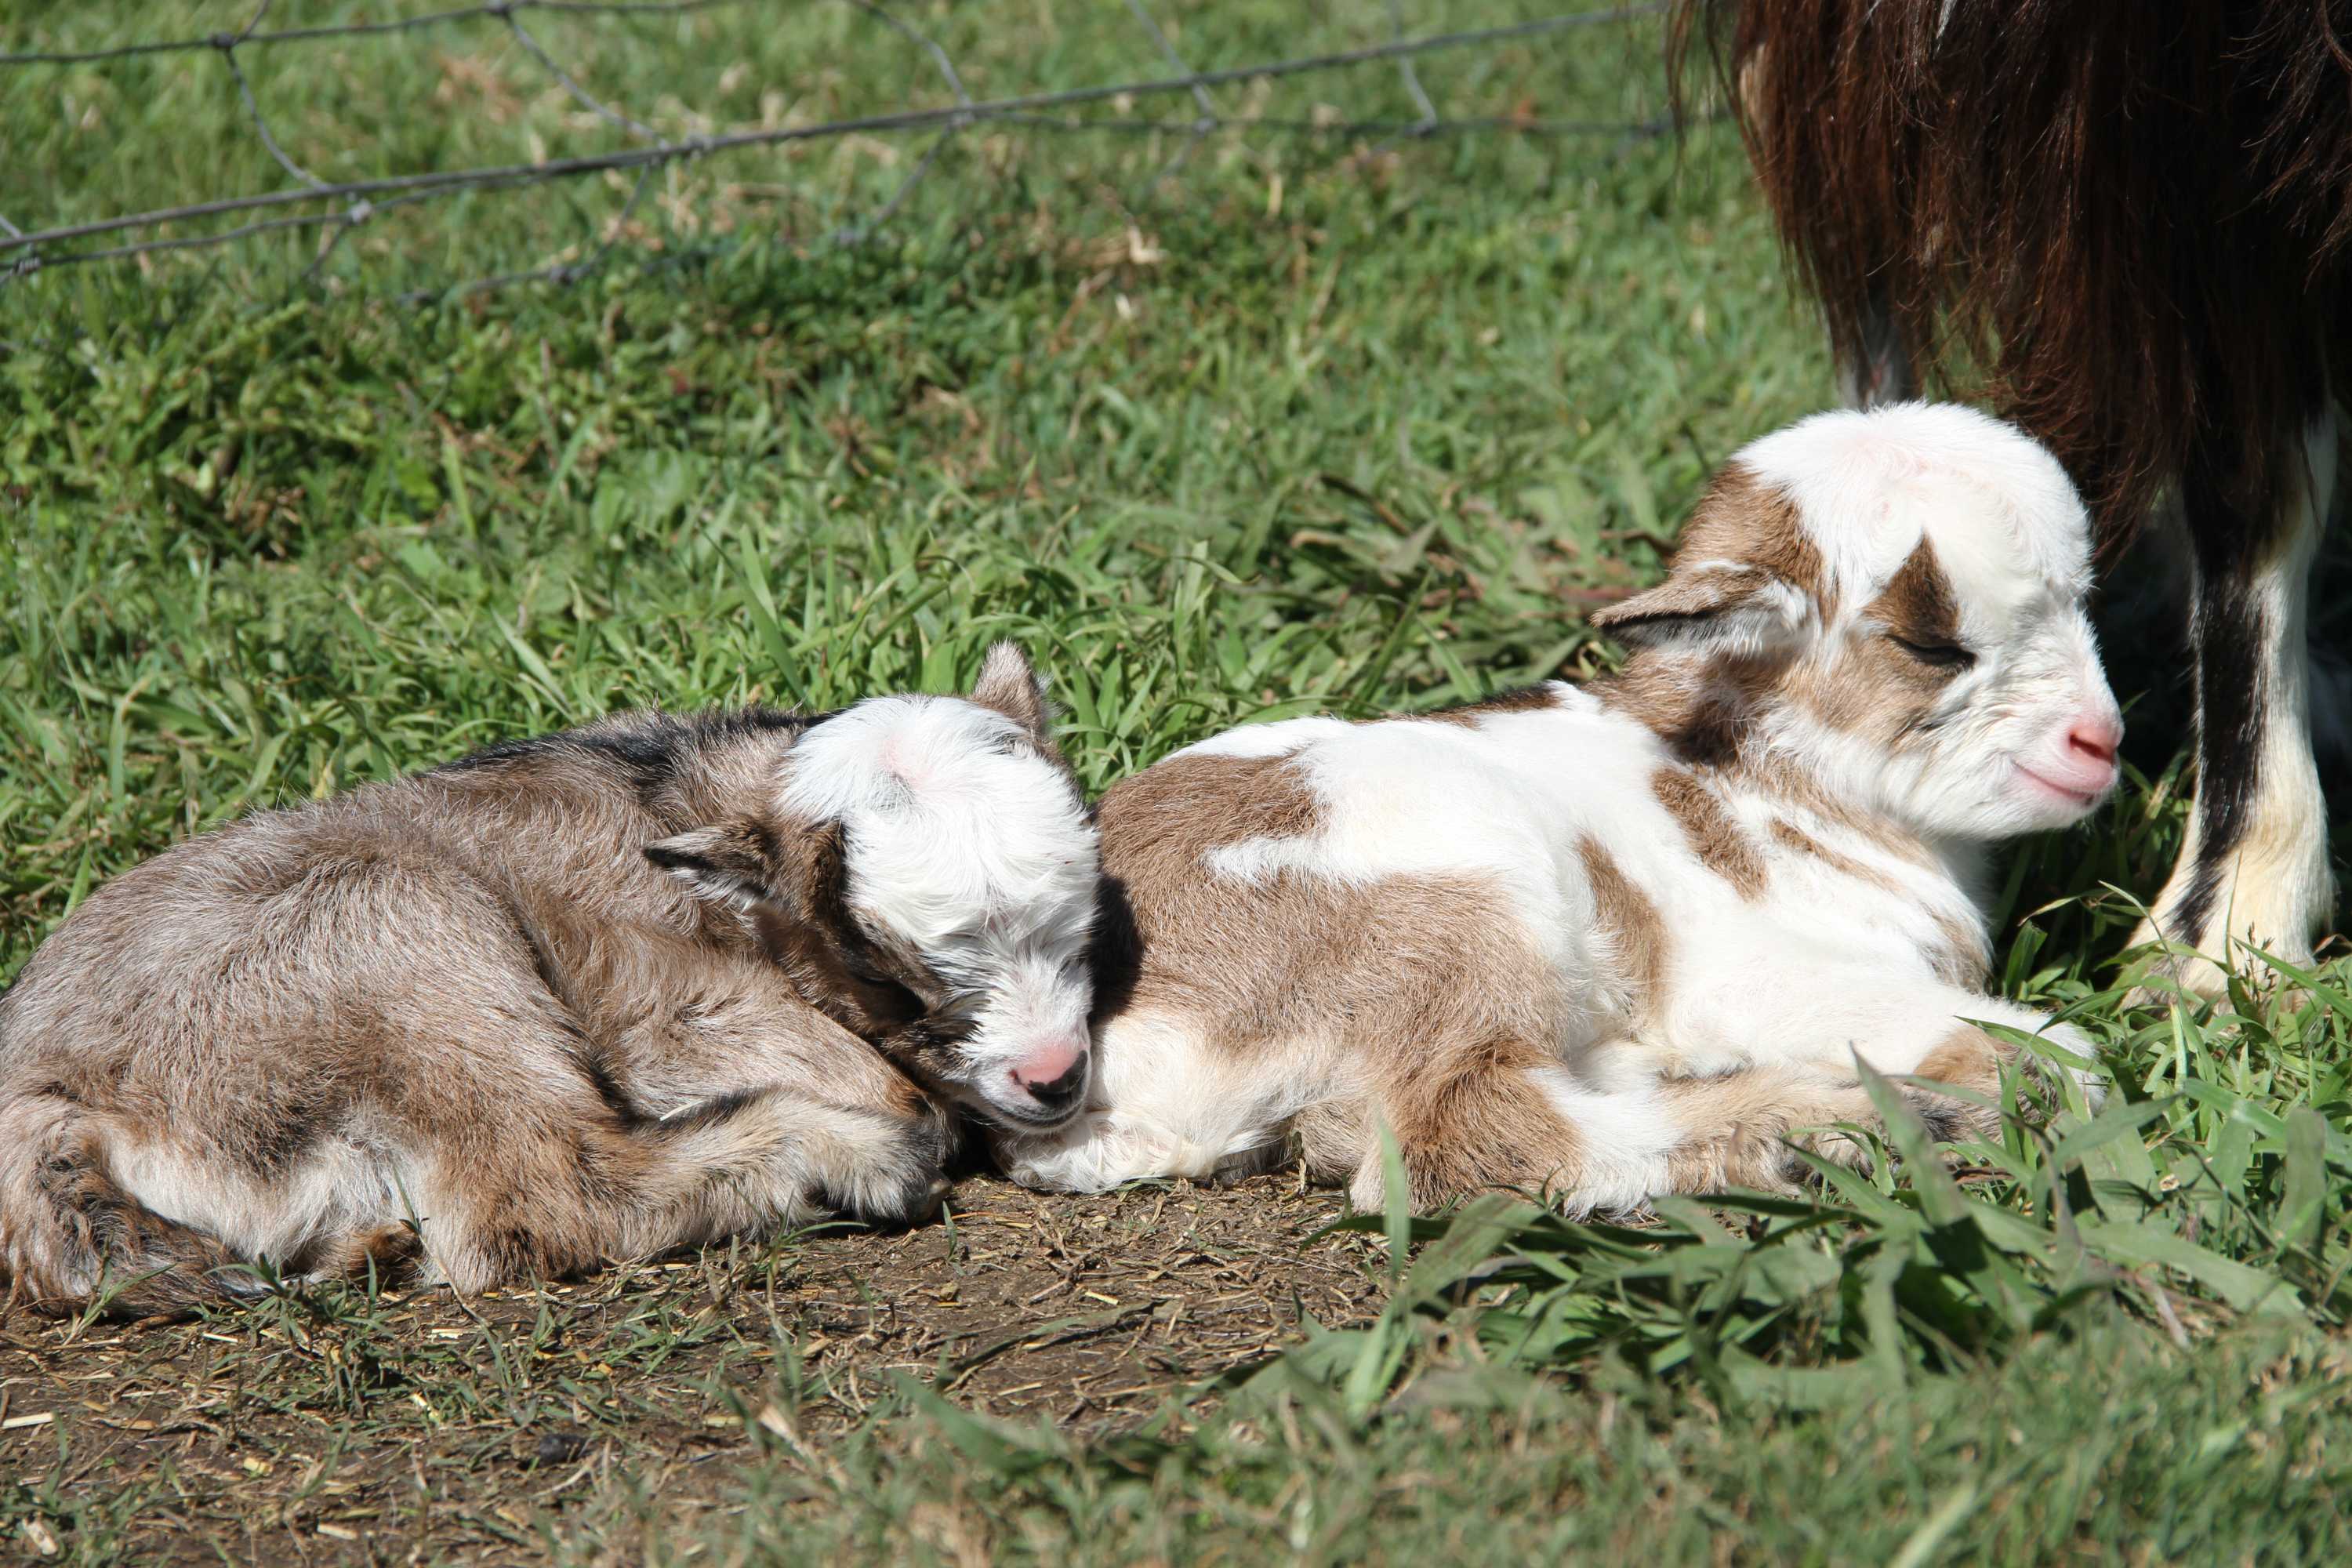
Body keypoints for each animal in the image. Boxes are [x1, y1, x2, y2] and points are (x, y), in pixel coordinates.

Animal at [0, 644, 1099, 1315]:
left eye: (1087, 913)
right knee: (541, 1195)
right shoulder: (649, 991)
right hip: (407, 938)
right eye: (886, 969)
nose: (1054, 1077)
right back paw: (854, 1156)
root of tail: (40, 1102)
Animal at [999, 406, 2117, 1212]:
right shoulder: (1749, 964)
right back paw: (1865, 1129)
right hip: (1463, 894)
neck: (1750, 786)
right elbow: (2042, 1047)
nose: (2100, 741)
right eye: (1934, 645)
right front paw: (2014, 1081)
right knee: (1465, 1132)